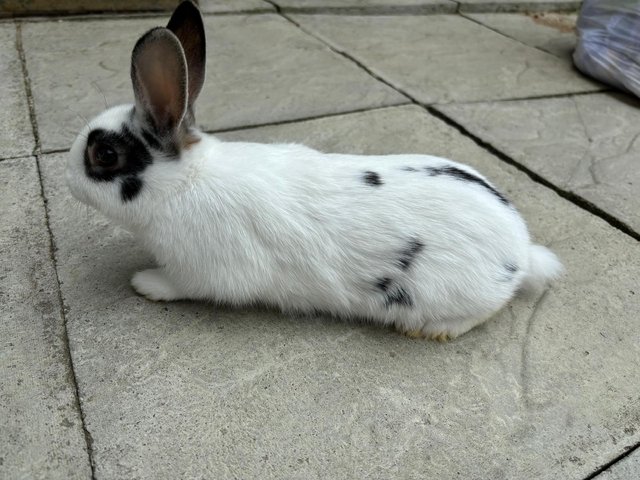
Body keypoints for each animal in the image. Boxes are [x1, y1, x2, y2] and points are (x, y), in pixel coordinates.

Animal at [66, 1, 562, 340]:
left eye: (104, 155)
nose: (67, 181)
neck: (182, 184)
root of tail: (521, 252)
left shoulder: (203, 271)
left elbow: (180, 284)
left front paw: (145, 283)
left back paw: (432, 331)